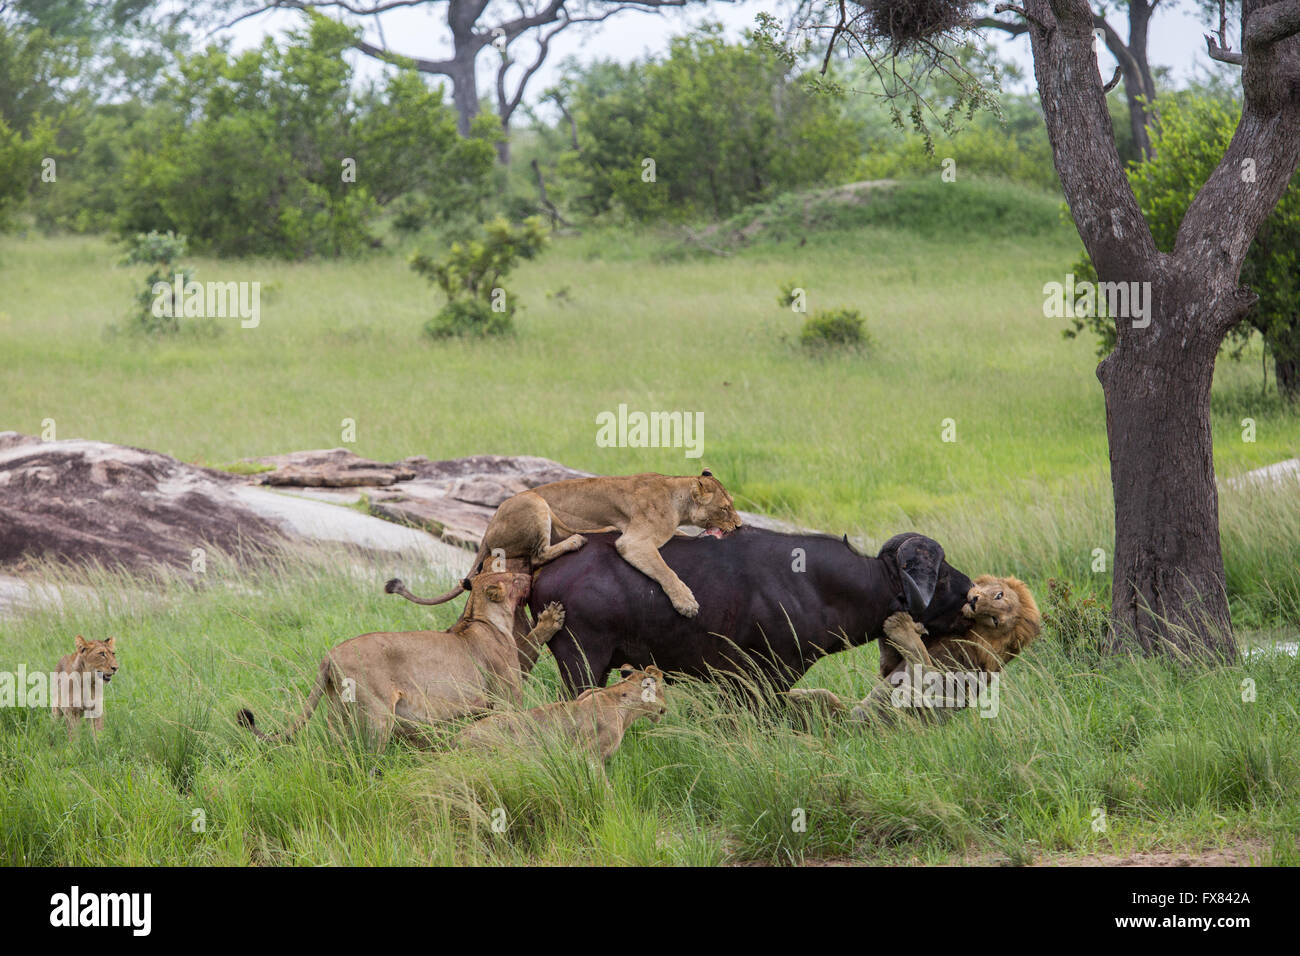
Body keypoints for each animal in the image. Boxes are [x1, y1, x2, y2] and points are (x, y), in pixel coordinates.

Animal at [238, 572, 566, 747]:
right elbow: (531, 643)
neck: (484, 618)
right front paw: (551, 618)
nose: (530, 575)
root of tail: (329, 656)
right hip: (378, 714)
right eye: (515, 577)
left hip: (339, 713)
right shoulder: (507, 692)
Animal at [387, 470, 741, 618]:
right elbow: (665, 570)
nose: (739, 525)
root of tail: (487, 526)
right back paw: (575, 539)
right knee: (538, 555)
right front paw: (686, 602)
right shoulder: (634, 541)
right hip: (536, 503)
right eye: (725, 508)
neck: (675, 495)